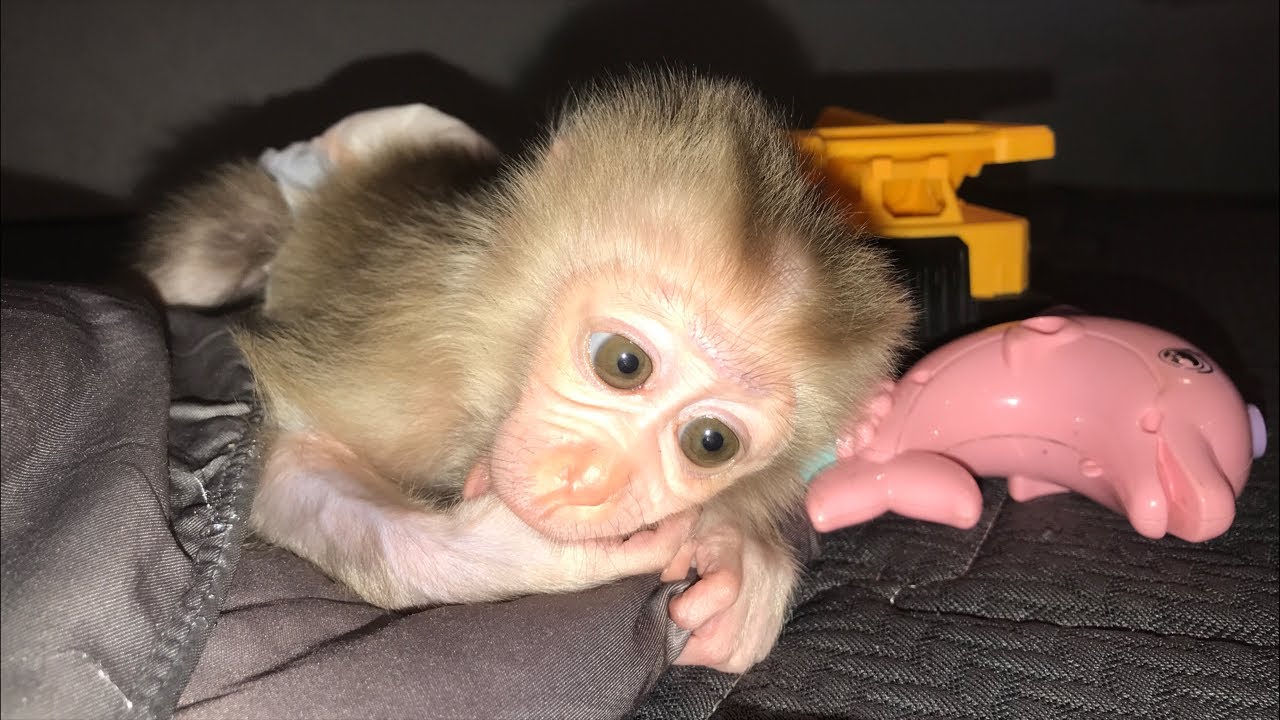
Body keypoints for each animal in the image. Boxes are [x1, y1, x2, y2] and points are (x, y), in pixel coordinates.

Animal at [138, 71, 912, 673]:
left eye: (710, 442)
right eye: (623, 363)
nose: (588, 481)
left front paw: (741, 556)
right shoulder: (415, 358)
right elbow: (281, 447)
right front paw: (520, 551)